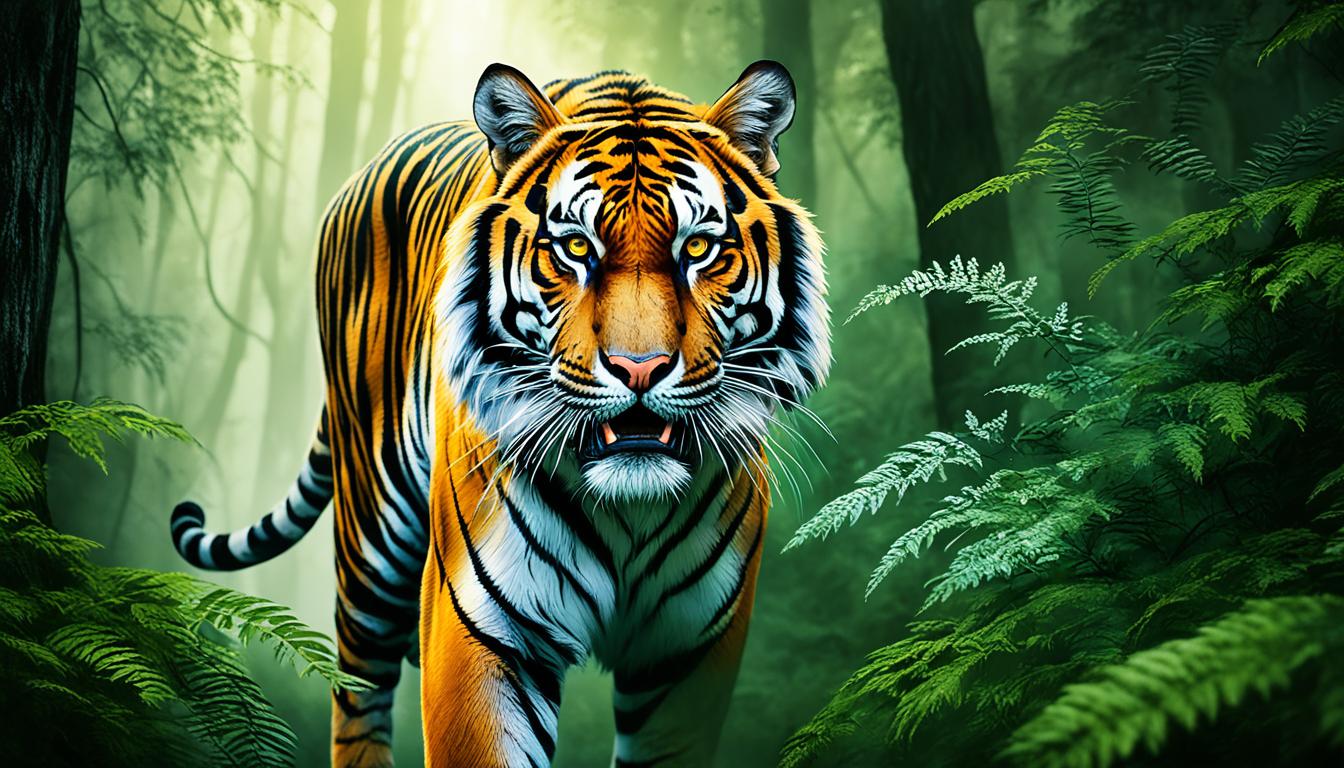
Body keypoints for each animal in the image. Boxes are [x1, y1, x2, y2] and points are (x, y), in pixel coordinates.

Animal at [169, 61, 830, 767]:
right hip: (371, 537)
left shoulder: (688, 656)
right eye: (575, 248)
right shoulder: (485, 633)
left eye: (700, 247)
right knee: (357, 698)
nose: (639, 368)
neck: (629, 511)